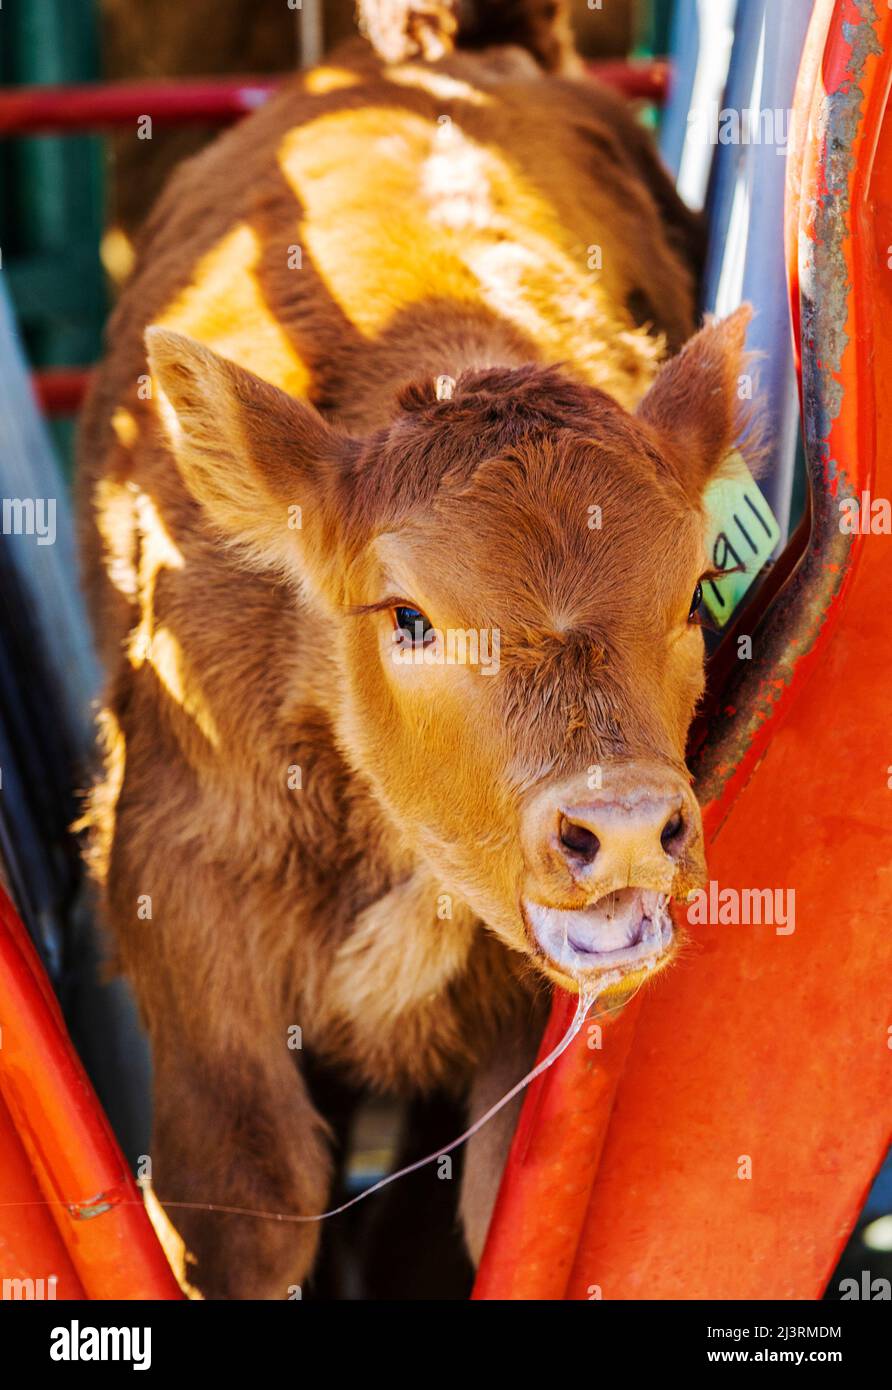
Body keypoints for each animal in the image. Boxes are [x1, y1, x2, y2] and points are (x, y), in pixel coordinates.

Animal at [77, 0, 751, 1298]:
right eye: (410, 617)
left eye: (696, 590)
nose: (626, 825)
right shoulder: (180, 895)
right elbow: (252, 1196)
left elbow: (504, 1206)